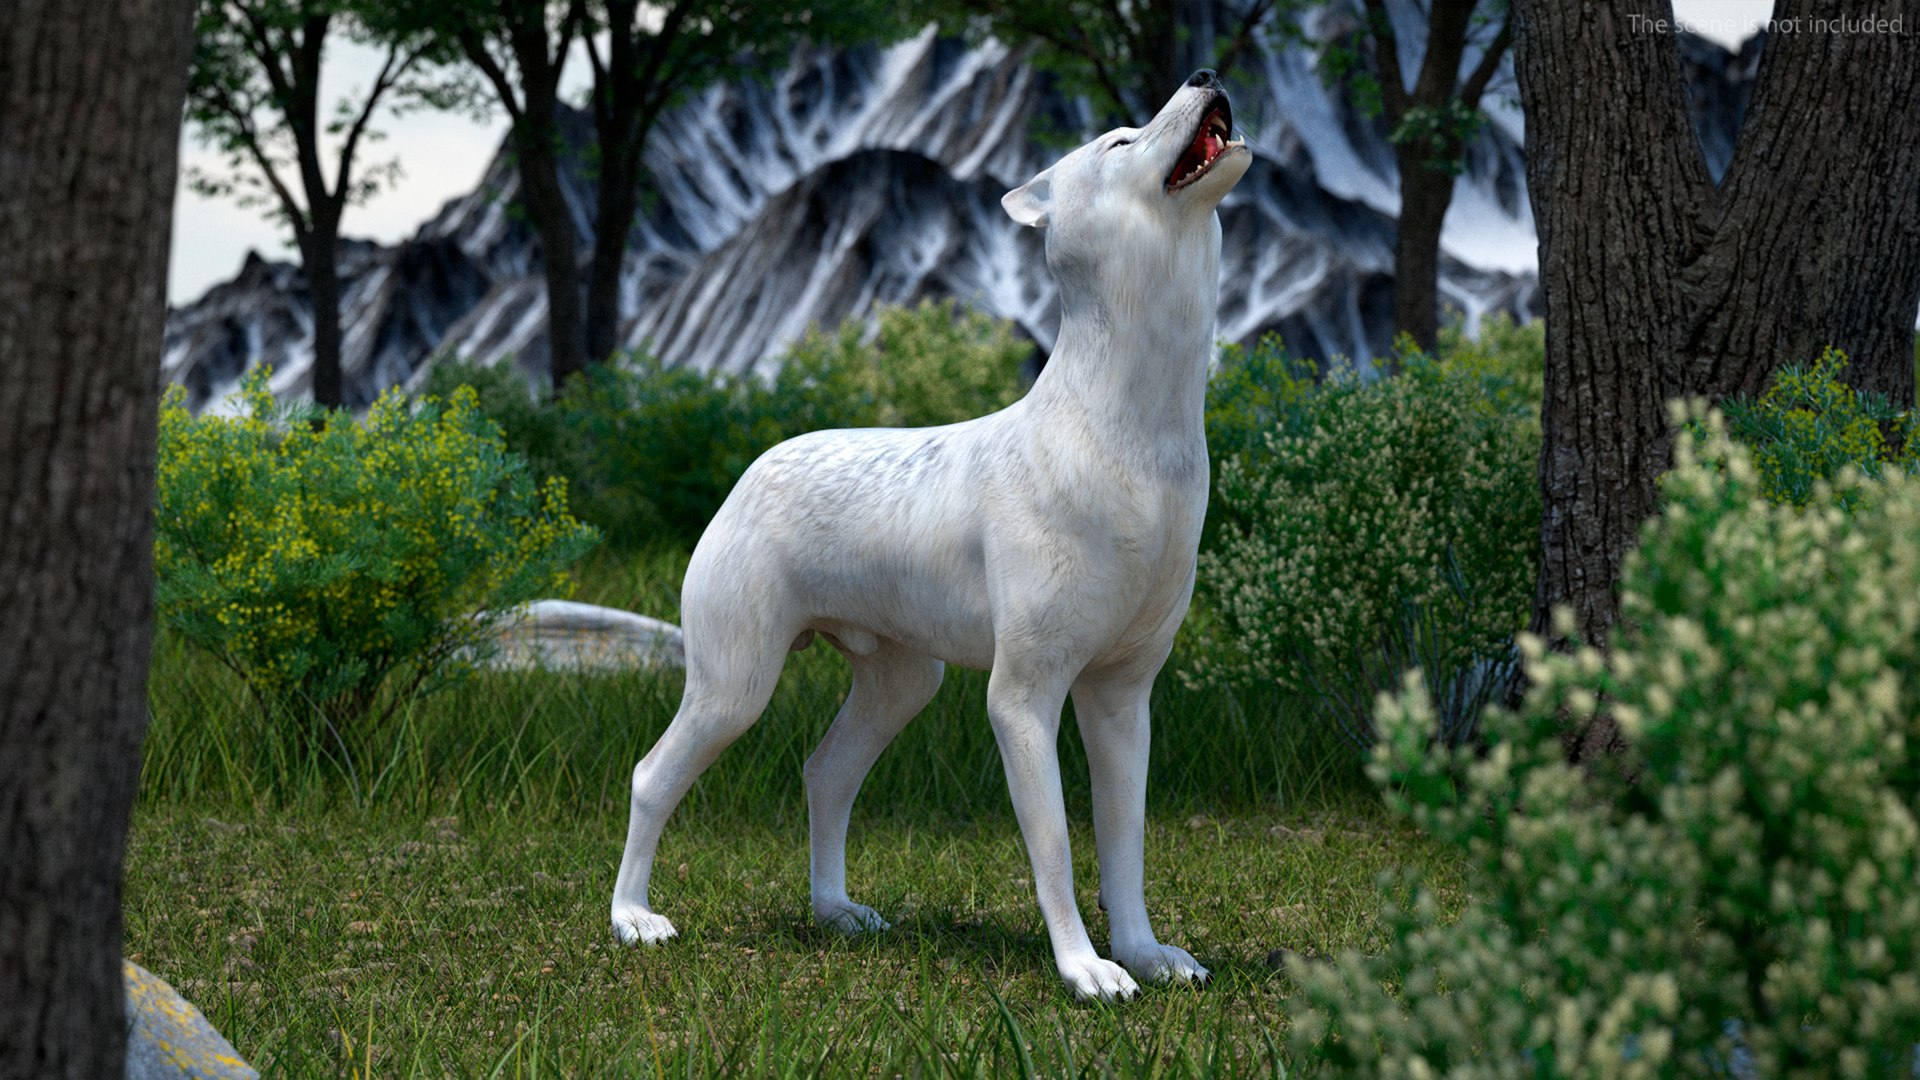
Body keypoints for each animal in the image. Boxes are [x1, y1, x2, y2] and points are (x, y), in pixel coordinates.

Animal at [610, 70, 1251, 1001]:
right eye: (1119, 142)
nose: (1205, 77)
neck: (1134, 437)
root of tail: (755, 467)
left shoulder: (1123, 696)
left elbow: (1124, 846)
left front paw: (1146, 955)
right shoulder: (1022, 697)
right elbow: (1057, 846)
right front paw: (1085, 971)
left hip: (901, 683)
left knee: (824, 773)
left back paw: (836, 914)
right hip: (735, 685)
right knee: (653, 776)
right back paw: (633, 919)